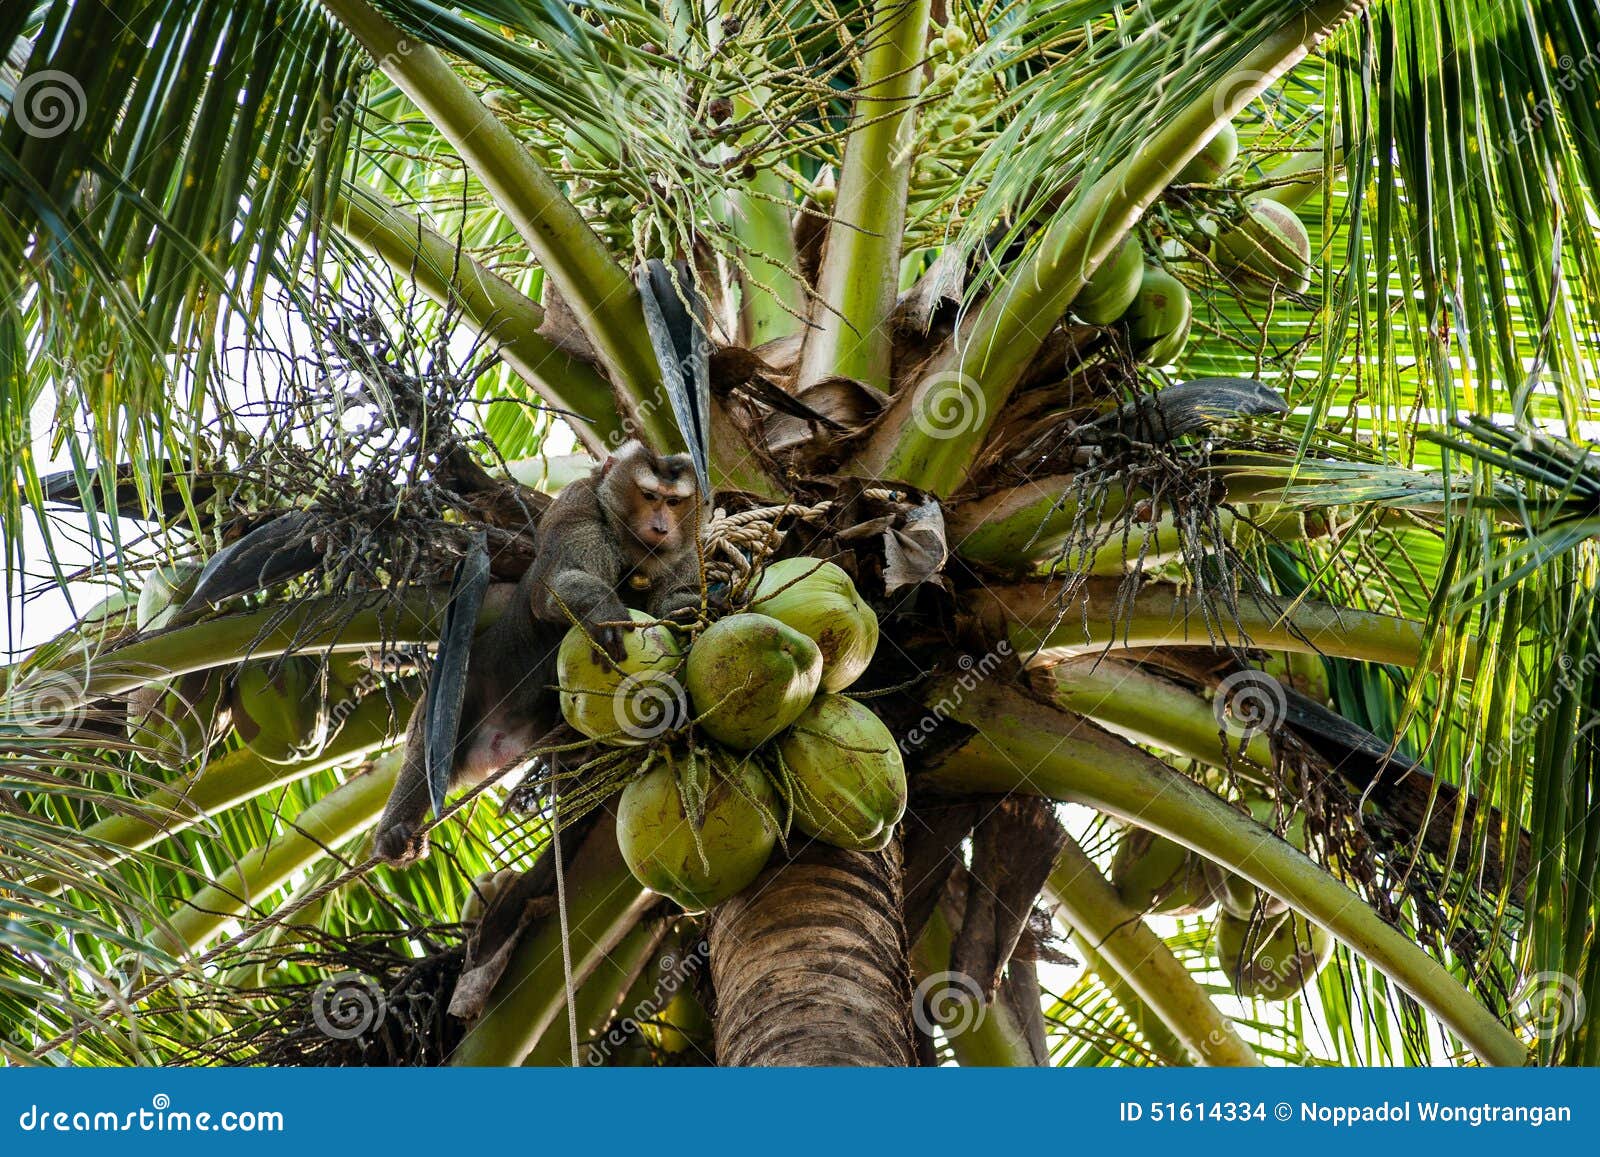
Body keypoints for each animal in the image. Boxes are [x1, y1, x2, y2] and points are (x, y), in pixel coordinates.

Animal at [372, 441, 706, 864]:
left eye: (675, 502)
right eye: (649, 497)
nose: (662, 528)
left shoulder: (691, 542)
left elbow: (671, 606)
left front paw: (699, 606)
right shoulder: (576, 502)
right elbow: (554, 587)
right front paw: (602, 610)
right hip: (464, 688)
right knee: (428, 748)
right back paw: (396, 833)